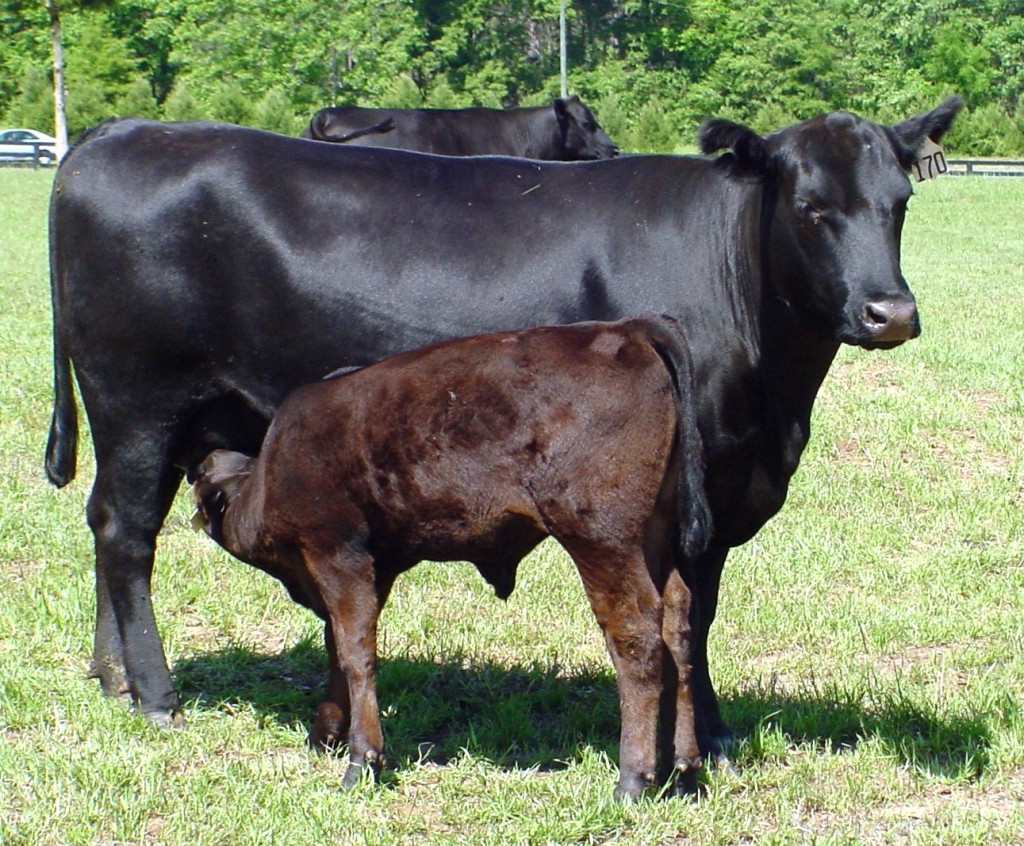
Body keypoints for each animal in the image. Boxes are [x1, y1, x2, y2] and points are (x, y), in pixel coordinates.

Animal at [189, 316, 713, 799]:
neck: (271, 470)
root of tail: (629, 329)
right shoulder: (374, 568)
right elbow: (338, 646)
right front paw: (326, 733)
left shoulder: (338, 555)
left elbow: (356, 653)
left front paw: (362, 759)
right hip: (657, 543)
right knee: (679, 631)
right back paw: (685, 770)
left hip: (602, 542)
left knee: (637, 638)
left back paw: (634, 779)